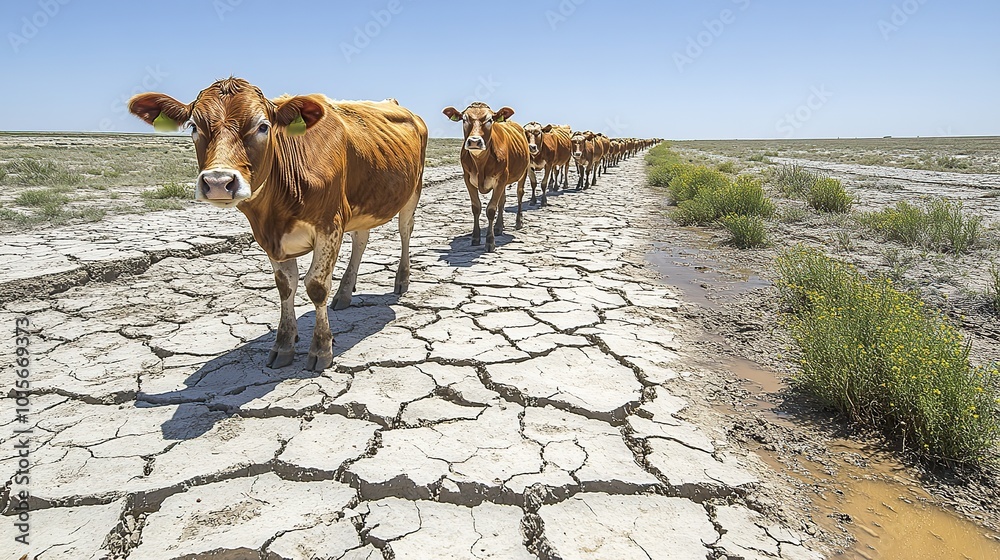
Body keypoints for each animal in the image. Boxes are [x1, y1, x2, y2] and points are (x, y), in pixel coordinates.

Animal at [129, 77, 427, 371]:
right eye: (193, 126)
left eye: (263, 126)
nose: (218, 182)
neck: (276, 211)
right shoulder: (269, 236)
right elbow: (285, 286)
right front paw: (284, 343)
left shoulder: (329, 225)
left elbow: (316, 287)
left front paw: (321, 348)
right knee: (361, 240)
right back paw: (344, 293)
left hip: (413, 191)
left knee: (404, 231)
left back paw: (401, 280)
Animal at [442, 102, 530, 252]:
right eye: (464, 119)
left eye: (489, 120)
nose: (474, 141)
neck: (480, 163)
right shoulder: (468, 179)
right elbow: (476, 207)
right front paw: (475, 237)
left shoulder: (500, 179)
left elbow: (491, 209)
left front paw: (490, 242)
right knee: (502, 201)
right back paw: (499, 227)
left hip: (523, 172)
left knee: (519, 194)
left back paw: (518, 222)